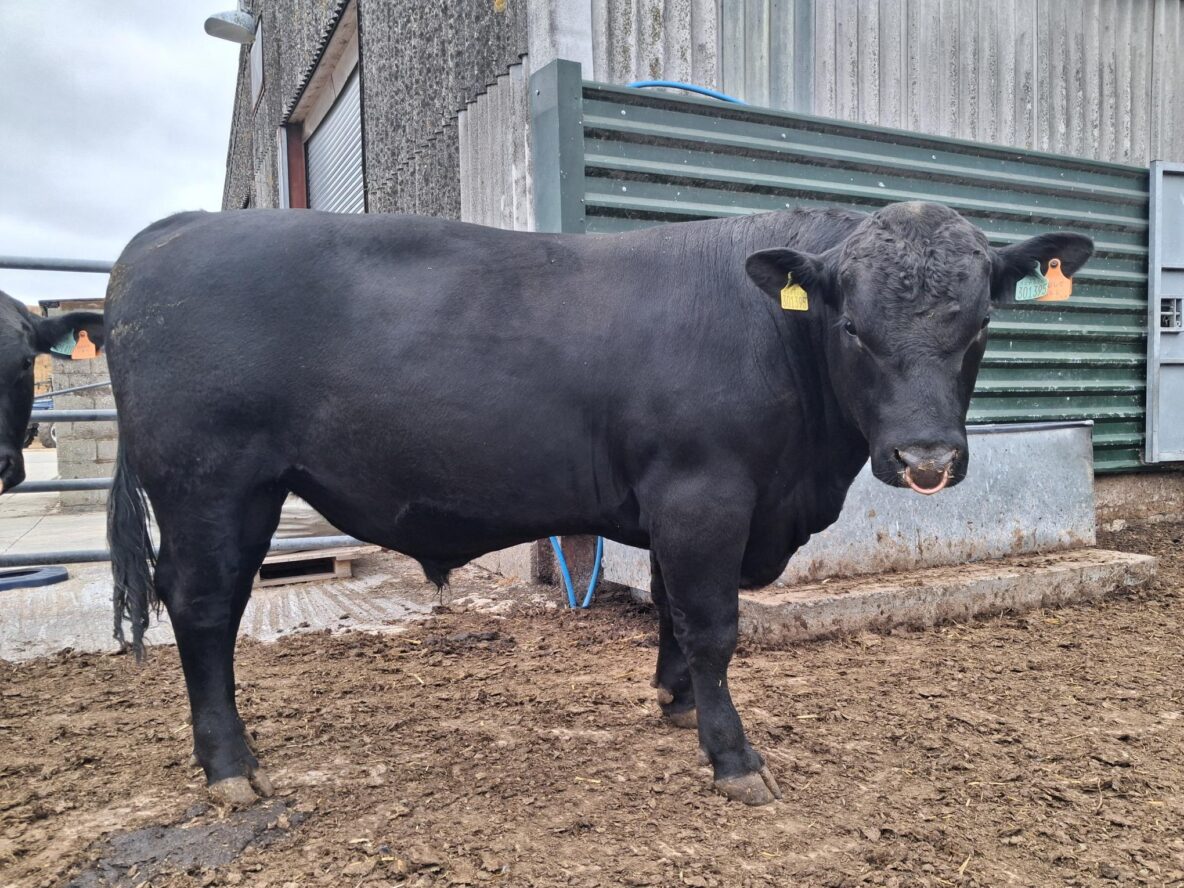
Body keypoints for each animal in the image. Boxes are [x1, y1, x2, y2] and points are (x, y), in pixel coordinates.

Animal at [98, 202, 1092, 807]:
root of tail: (171, 233)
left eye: (981, 327)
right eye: (851, 326)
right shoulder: (703, 491)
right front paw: (734, 758)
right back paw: (231, 769)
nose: (927, 459)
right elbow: (713, 622)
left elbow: (673, 611)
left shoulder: (689, 508)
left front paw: (678, 704)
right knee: (203, 608)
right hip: (213, 484)